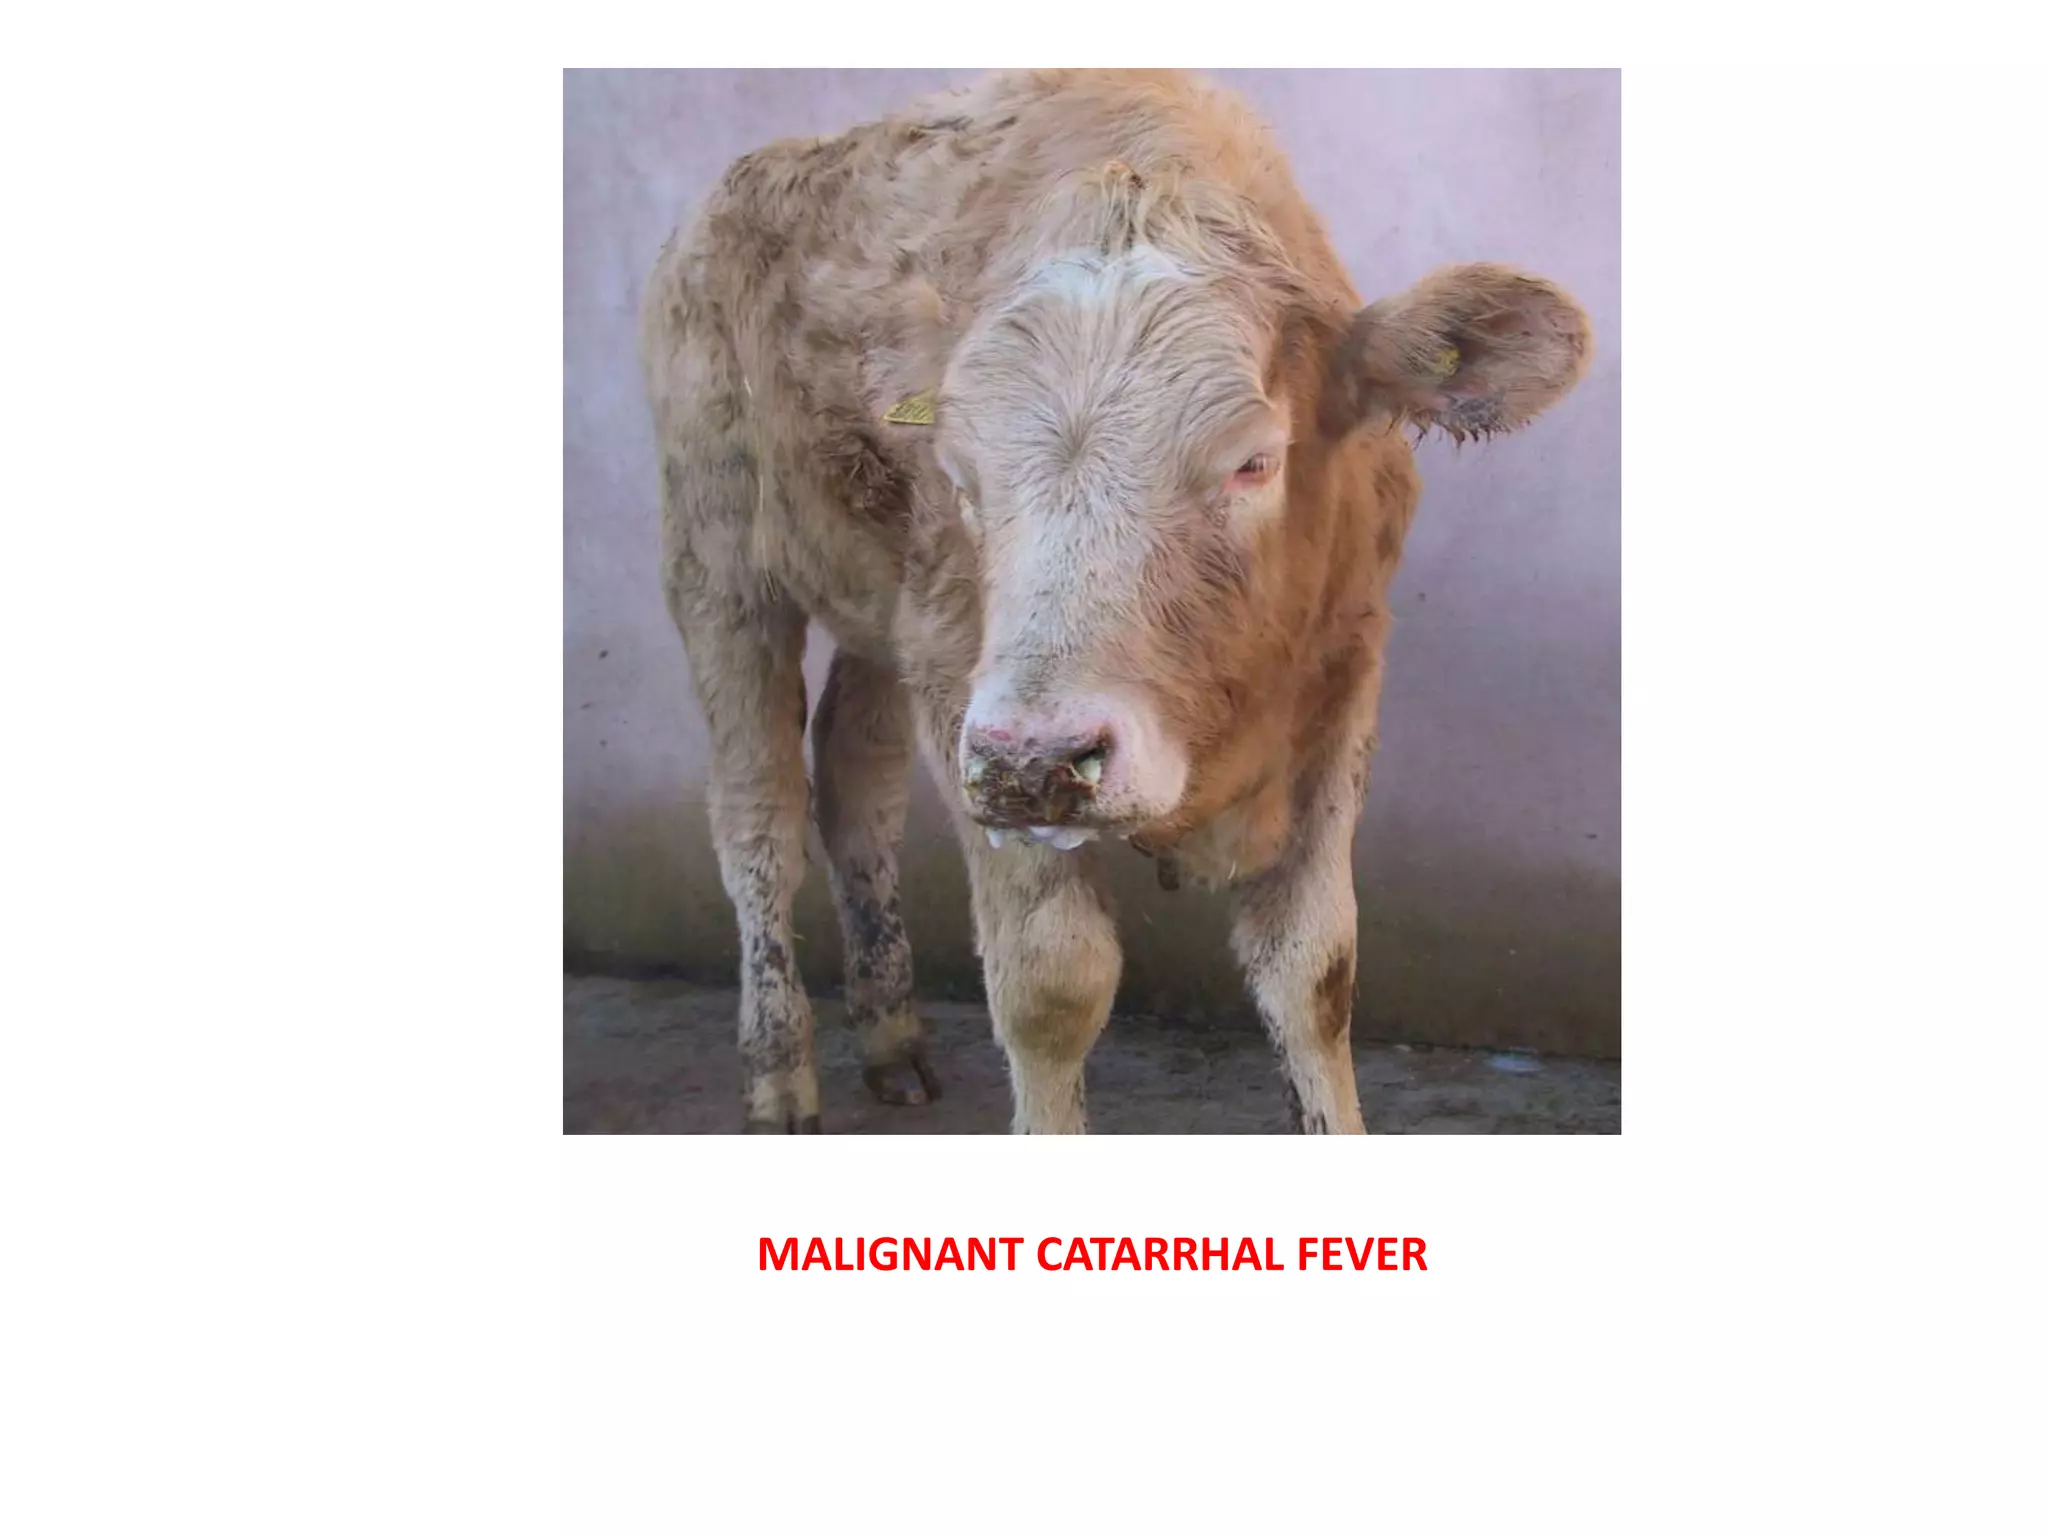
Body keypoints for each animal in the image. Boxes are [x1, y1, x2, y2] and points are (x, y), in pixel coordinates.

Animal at [639, 69, 1592, 1133]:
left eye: (1254, 461)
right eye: (961, 475)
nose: (1038, 759)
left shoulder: (1344, 671)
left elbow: (1314, 967)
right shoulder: (963, 693)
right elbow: (1052, 986)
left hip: (879, 614)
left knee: (856, 776)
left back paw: (892, 1039)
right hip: (719, 565)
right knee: (757, 819)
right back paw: (779, 1072)